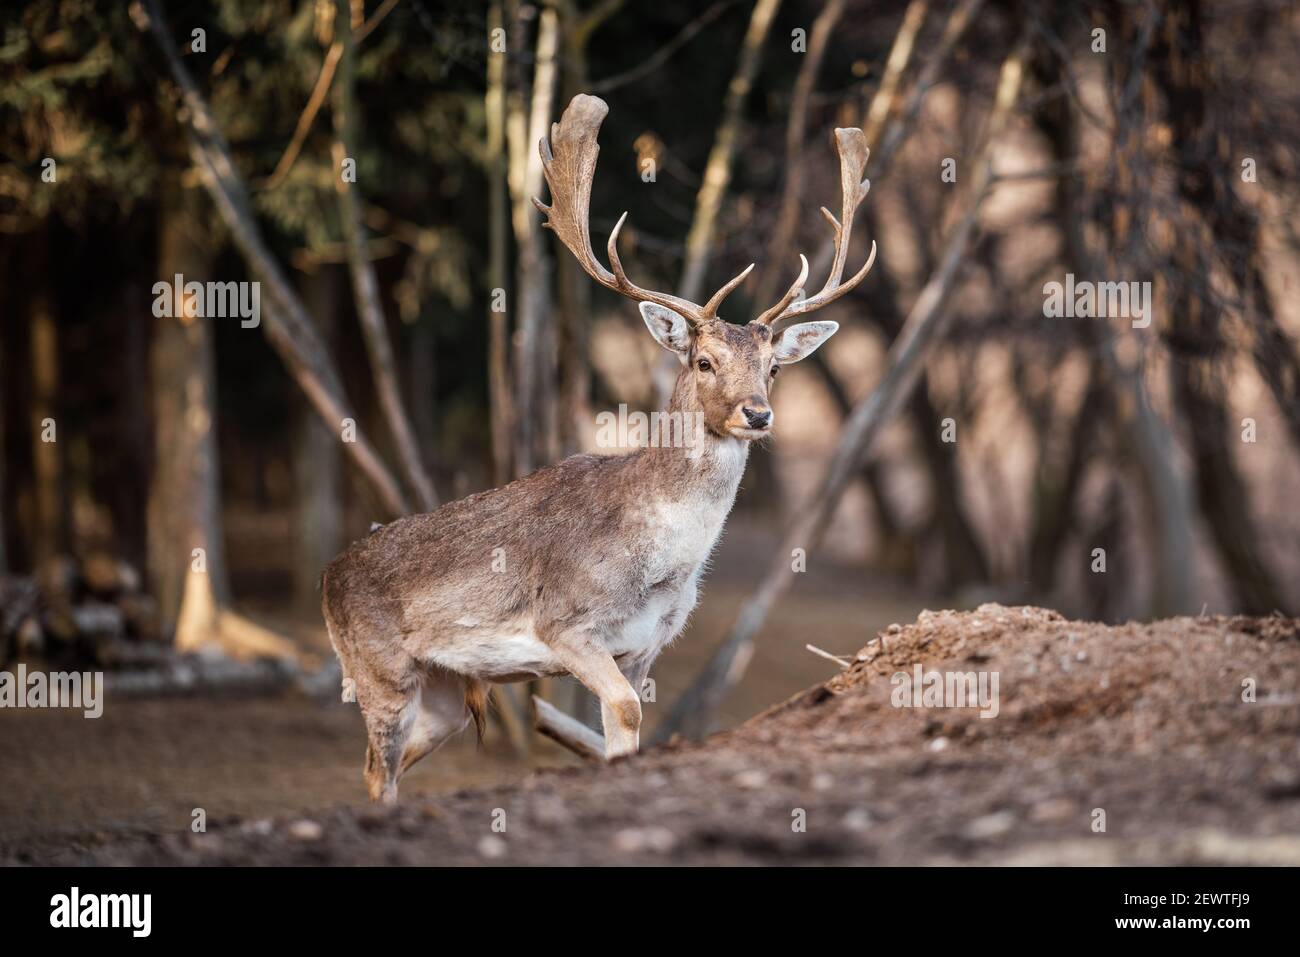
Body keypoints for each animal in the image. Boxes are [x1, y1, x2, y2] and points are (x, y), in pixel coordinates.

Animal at [321, 93, 876, 804]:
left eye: (774, 367)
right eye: (703, 361)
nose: (757, 413)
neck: (659, 567)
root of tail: (327, 575)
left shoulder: (644, 648)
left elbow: (628, 727)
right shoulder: (566, 626)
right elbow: (627, 712)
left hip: (446, 689)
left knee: (389, 763)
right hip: (378, 666)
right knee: (375, 765)